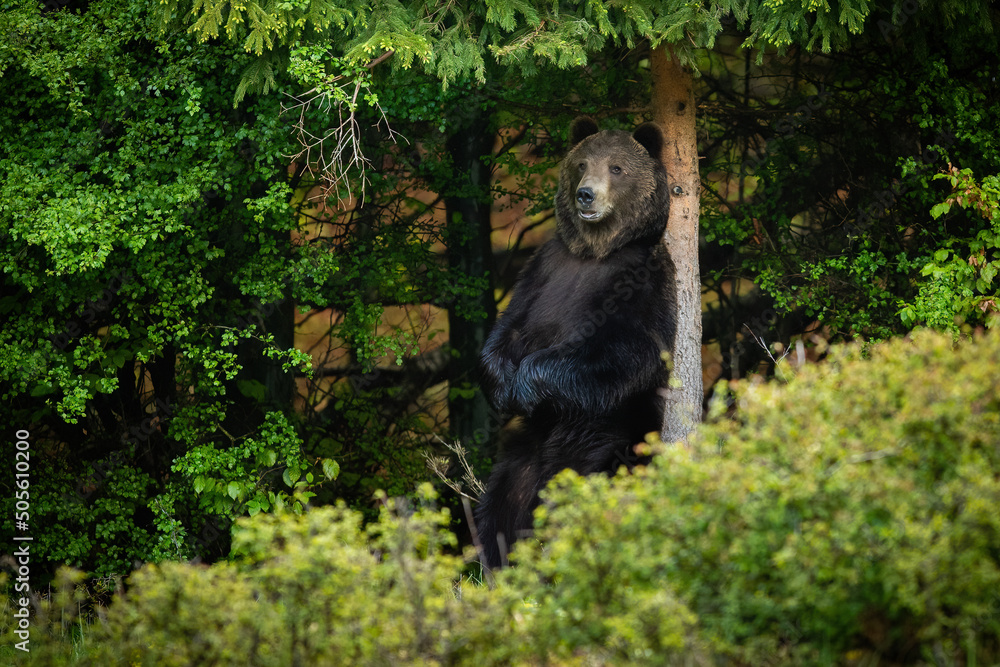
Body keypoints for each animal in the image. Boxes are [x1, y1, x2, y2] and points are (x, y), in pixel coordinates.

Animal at [475, 117, 677, 569]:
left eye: (617, 167)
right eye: (582, 163)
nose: (586, 193)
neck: (596, 252)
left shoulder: (643, 279)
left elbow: (624, 351)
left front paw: (526, 383)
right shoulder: (545, 270)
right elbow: (506, 331)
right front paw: (504, 385)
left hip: (615, 435)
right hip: (525, 456)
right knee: (501, 507)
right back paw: (499, 562)